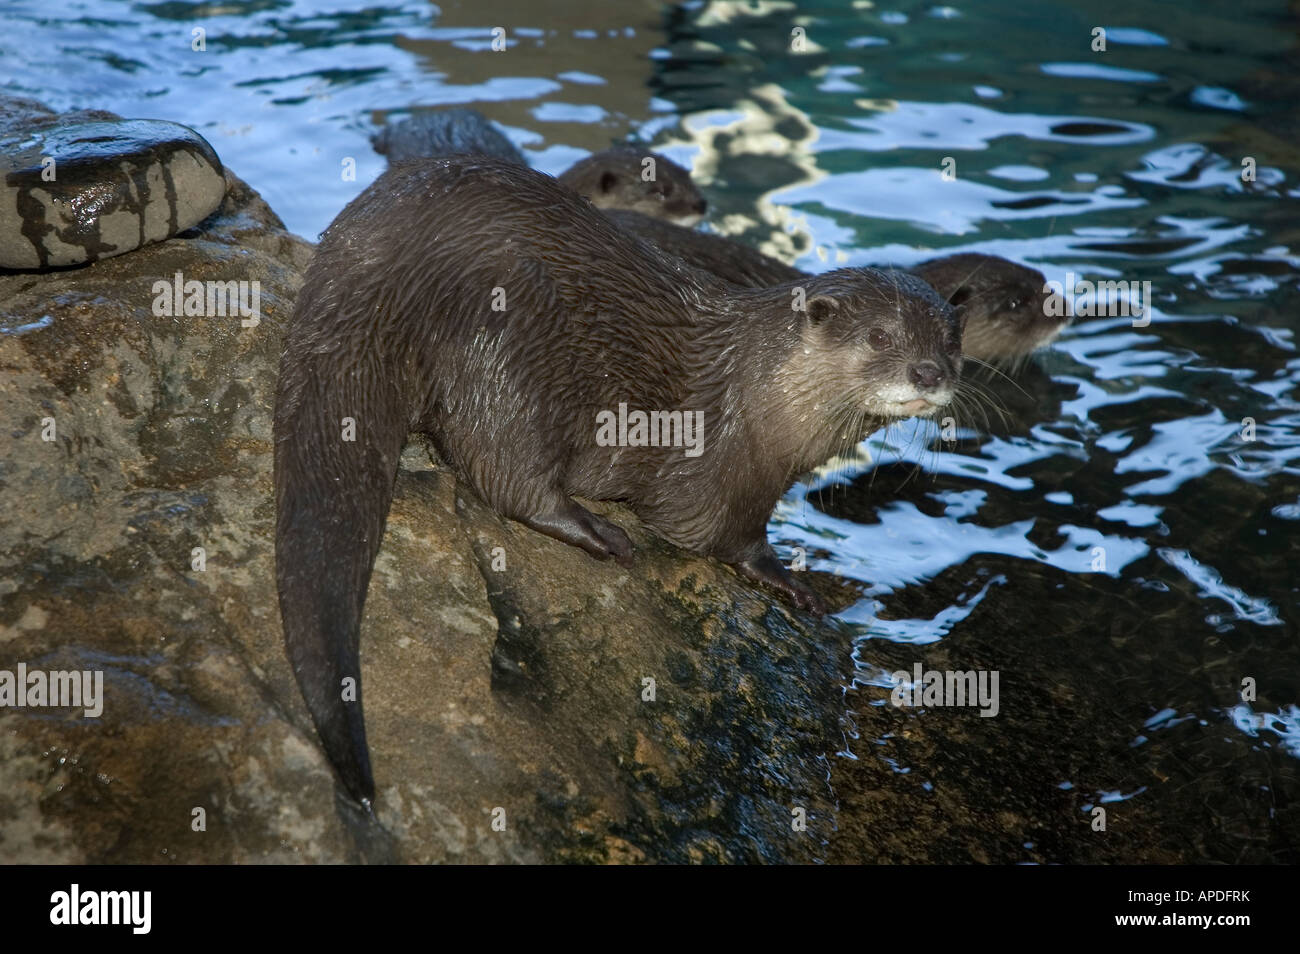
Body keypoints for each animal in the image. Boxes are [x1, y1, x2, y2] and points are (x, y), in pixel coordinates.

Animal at [274, 156, 961, 806]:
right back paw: (598, 532)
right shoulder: (717, 465)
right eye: (879, 336)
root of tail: (368, 257)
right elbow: (714, 531)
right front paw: (789, 580)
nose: (929, 372)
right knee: (502, 464)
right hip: (511, 342)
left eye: (952, 344)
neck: (761, 392)